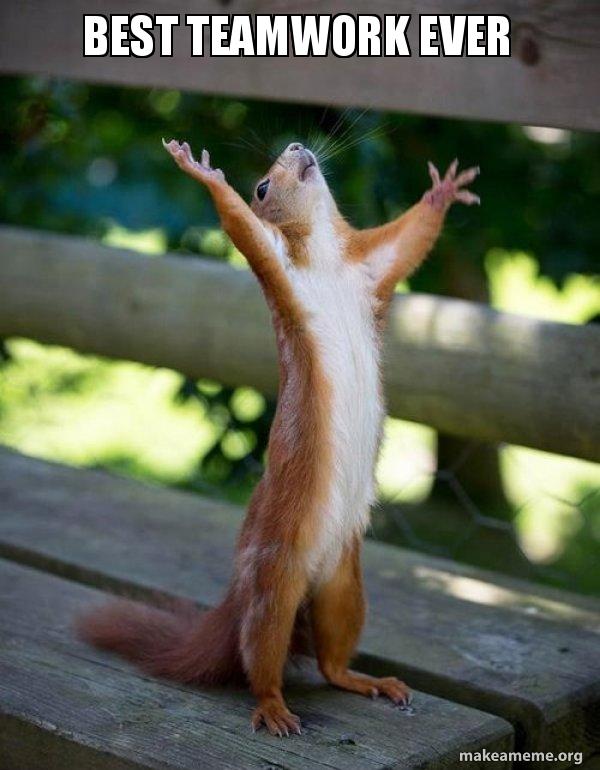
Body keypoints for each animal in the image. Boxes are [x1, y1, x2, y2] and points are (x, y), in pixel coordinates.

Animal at [78, 138, 479, 737]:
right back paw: (273, 707)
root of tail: (239, 596)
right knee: (260, 657)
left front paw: (443, 191)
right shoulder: (277, 266)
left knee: (332, 660)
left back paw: (367, 681)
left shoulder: (371, 267)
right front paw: (204, 174)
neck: (327, 258)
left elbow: (408, 241)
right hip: (274, 582)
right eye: (262, 186)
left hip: (344, 585)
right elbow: (241, 227)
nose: (296, 146)